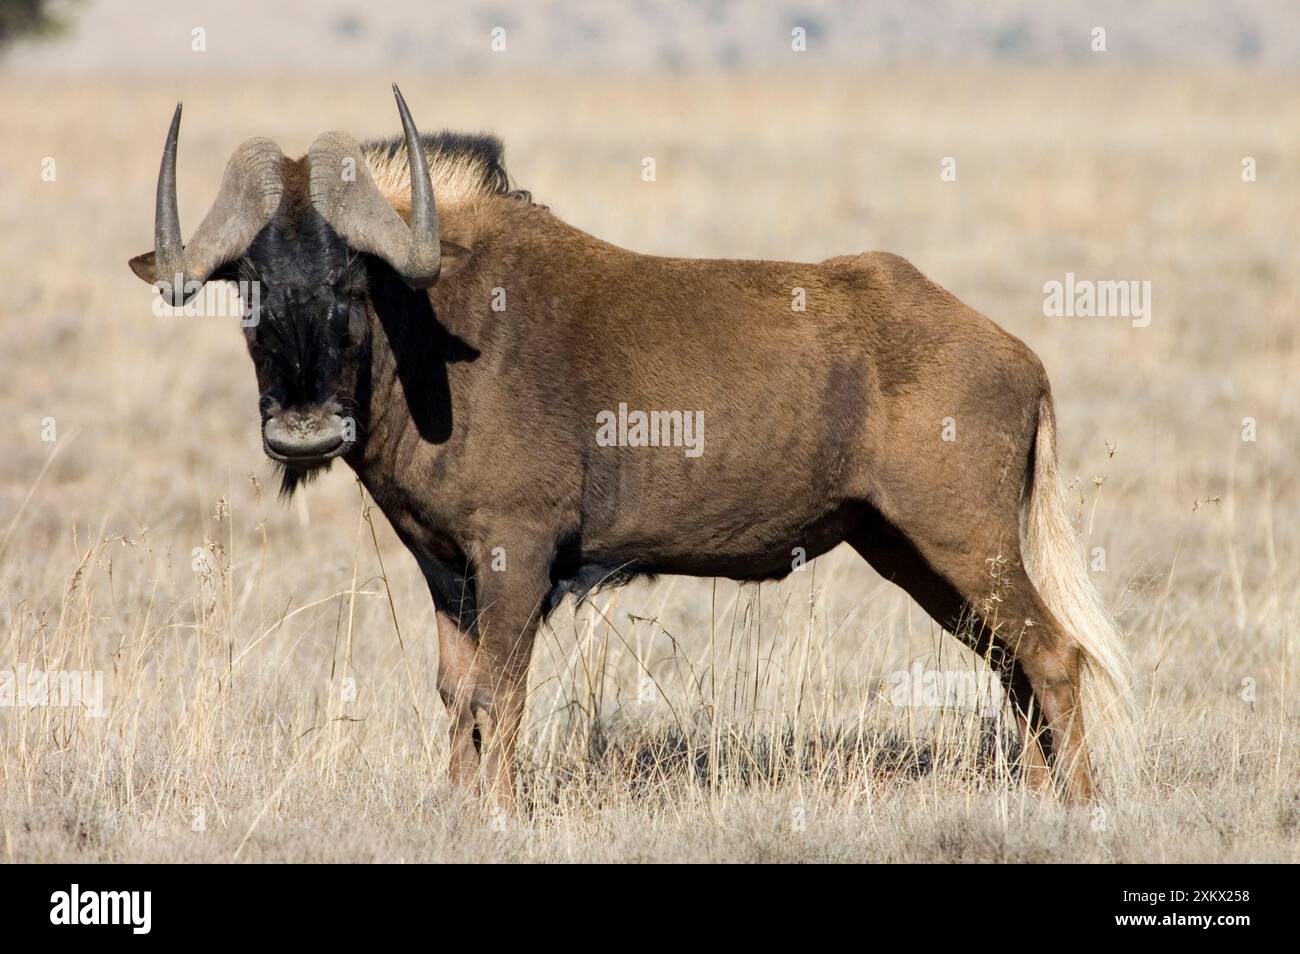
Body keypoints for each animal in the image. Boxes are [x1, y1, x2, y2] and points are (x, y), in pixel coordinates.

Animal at [128, 86, 1132, 804]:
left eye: (350, 278)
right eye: (250, 281)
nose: (301, 430)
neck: (430, 333)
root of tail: (1020, 355)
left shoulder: (518, 557)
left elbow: (498, 696)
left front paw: (498, 813)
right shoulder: (446, 571)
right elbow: (458, 697)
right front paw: (454, 806)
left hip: (963, 545)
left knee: (1054, 657)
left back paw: (1077, 809)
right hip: (911, 554)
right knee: (1013, 669)